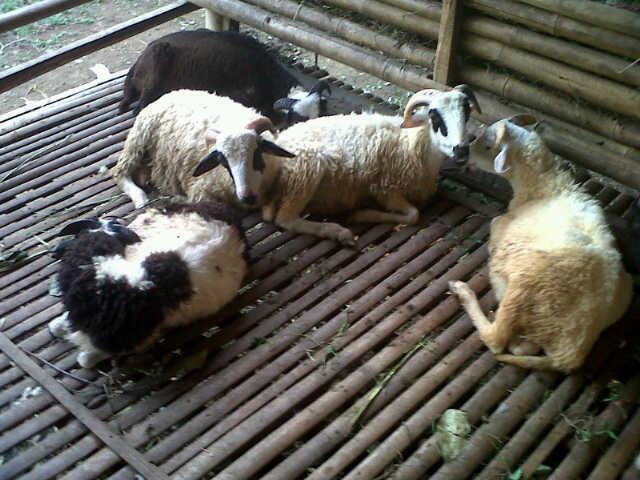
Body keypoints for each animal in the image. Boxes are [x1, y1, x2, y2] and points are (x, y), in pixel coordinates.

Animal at [112, 89, 296, 210]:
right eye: (223, 161)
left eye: (256, 152)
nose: (247, 197)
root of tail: (169, 94)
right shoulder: (200, 189)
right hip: (137, 140)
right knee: (119, 172)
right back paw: (140, 197)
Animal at [192, 85, 481, 245]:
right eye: (435, 115)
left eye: (466, 112)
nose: (461, 150)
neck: (412, 144)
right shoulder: (384, 188)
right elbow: (413, 215)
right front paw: (361, 214)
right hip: (307, 171)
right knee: (284, 219)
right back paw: (337, 231)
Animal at [448, 115, 633, 372]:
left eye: (487, 144)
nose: (462, 154)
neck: (544, 187)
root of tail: (573, 350)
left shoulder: (503, 223)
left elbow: (495, 222)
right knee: (523, 347)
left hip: (526, 283)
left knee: (497, 340)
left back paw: (463, 290)